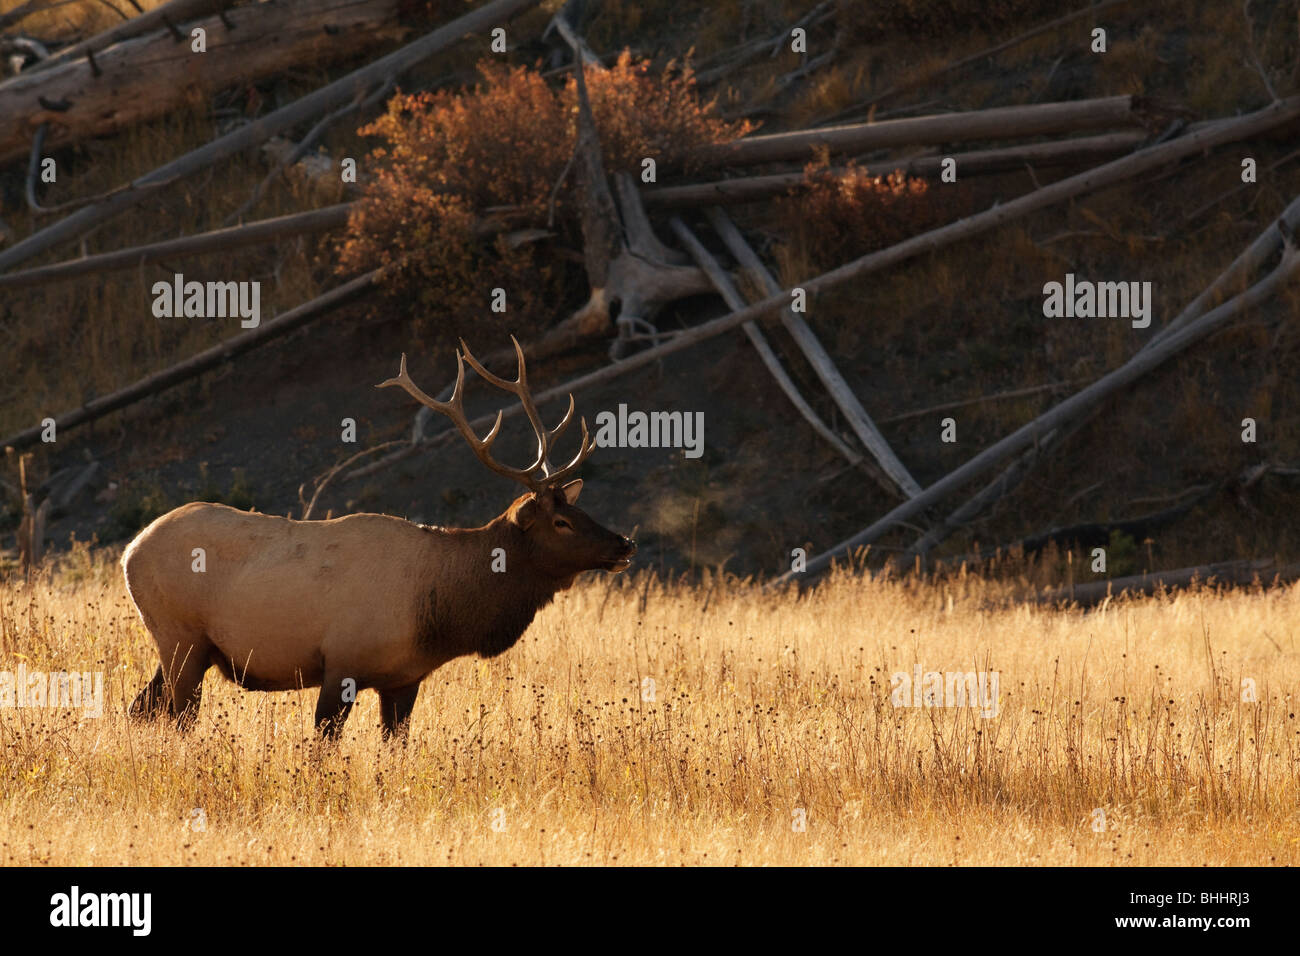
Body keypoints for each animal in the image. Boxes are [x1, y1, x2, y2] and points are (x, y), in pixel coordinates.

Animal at [122, 338, 636, 739]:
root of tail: (131, 549)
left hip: (190, 648)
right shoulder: (341, 664)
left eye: (579, 509)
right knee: (176, 717)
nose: (624, 544)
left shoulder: (404, 679)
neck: (438, 611)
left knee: (141, 709)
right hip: (179, 636)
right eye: (561, 522)